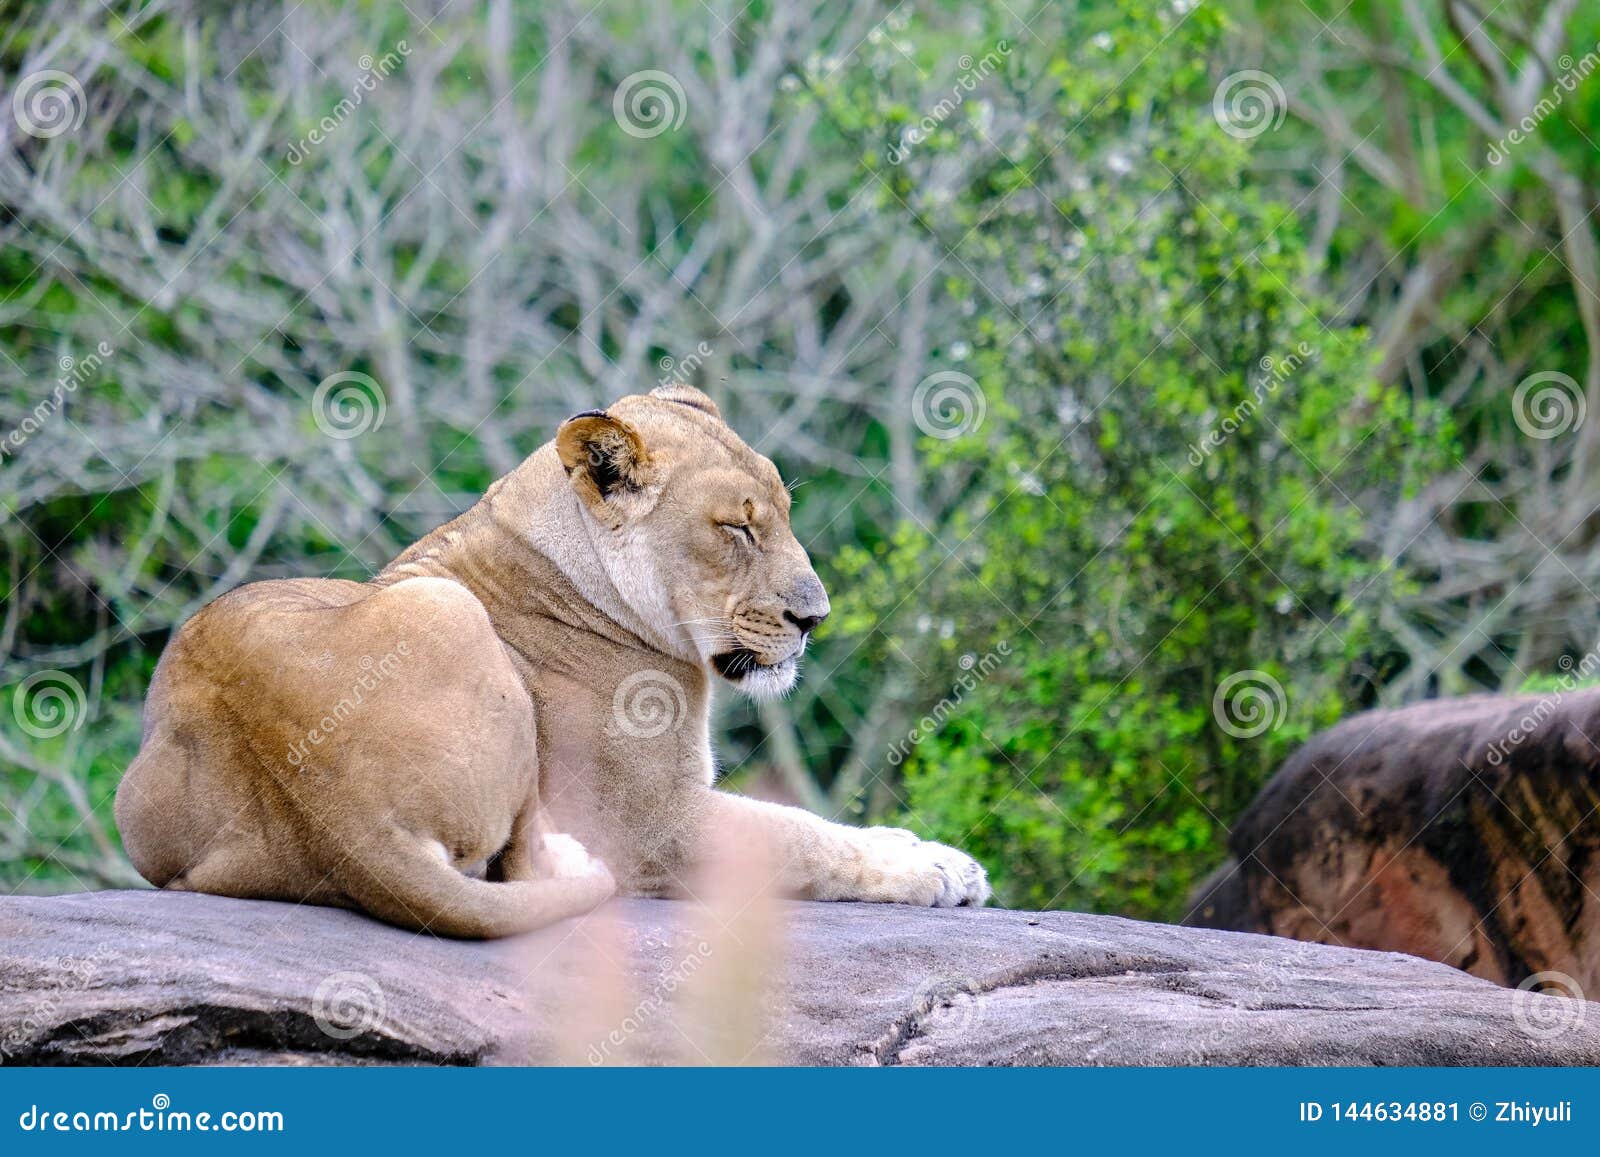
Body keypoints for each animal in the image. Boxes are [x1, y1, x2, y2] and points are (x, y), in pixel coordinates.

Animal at [114, 385, 990, 937]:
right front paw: (939, 865)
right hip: (447, 615)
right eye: (737, 528)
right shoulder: (650, 823)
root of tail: (334, 811)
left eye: (782, 514)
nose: (816, 617)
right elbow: (805, 836)